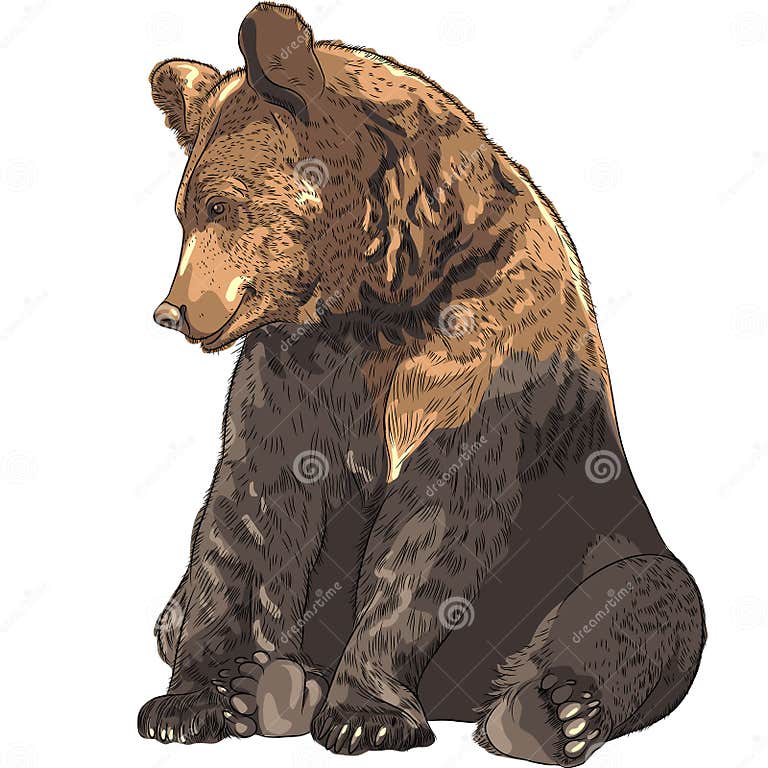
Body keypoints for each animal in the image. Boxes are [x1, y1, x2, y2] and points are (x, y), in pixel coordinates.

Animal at [139, 3, 706, 764]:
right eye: (185, 209)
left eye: (220, 206)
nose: (171, 311)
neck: (374, 301)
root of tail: (458, 700)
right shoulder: (296, 373)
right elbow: (248, 512)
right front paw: (187, 702)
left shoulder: (477, 365)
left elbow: (436, 528)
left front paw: (365, 716)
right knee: (170, 613)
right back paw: (279, 685)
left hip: (598, 543)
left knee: (650, 596)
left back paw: (548, 713)